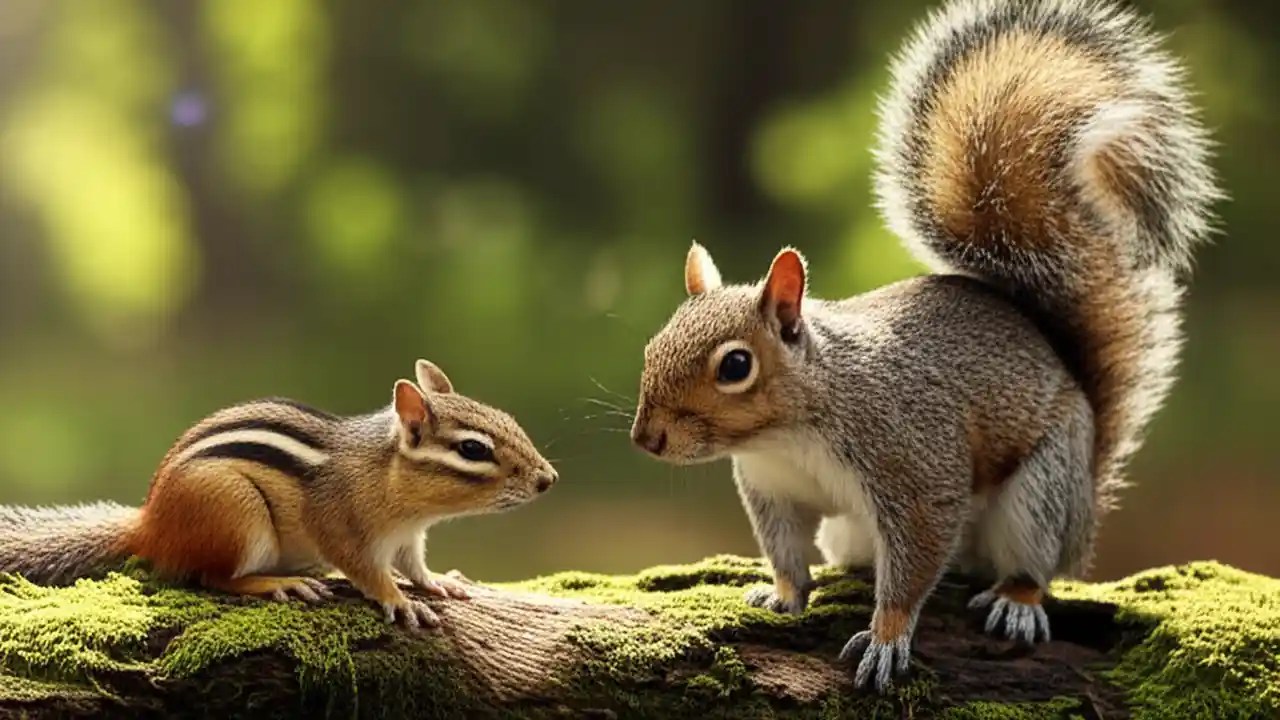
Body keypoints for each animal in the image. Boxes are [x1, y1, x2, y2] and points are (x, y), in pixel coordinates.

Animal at [0, 359, 557, 629]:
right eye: (472, 448)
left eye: (507, 418)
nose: (547, 478)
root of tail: (150, 522)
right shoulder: (343, 527)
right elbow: (368, 571)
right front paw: (400, 601)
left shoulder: (408, 539)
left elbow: (415, 566)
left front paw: (439, 582)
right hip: (237, 514)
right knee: (213, 578)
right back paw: (277, 584)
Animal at [630, 0, 1219, 692]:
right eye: (652, 345)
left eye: (736, 365)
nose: (646, 438)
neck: (789, 430)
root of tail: (1087, 505)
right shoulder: (773, 488)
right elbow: (784, 549)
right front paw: (782, 593)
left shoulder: (913, 467)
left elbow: (914, 564)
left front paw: (887, 638)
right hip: (852, 532)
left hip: (1043, 491)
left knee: (1033, 561)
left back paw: (1017, 600)